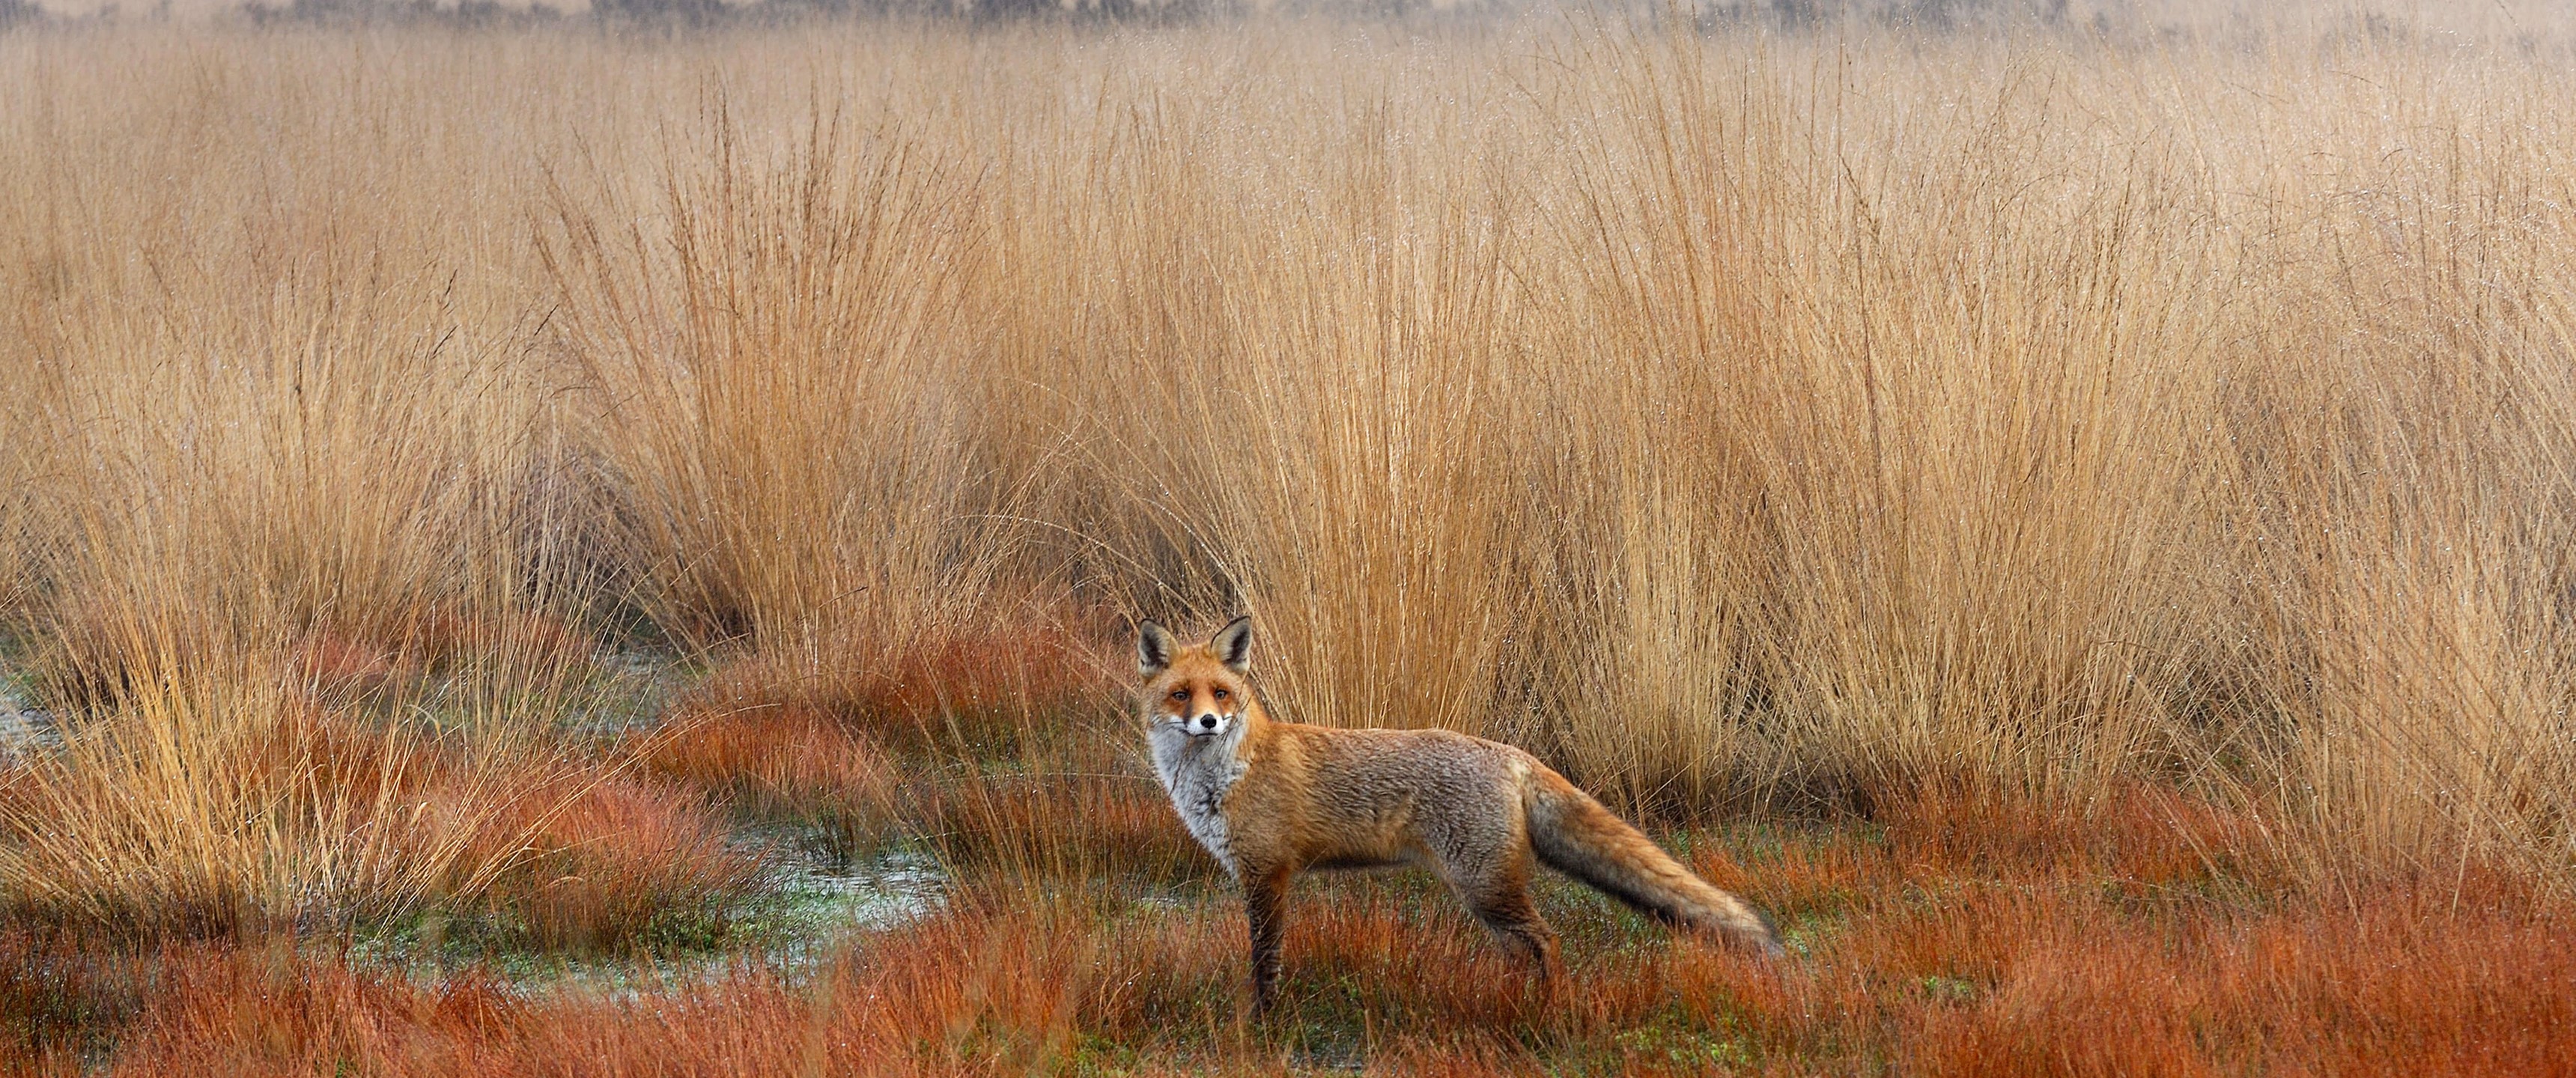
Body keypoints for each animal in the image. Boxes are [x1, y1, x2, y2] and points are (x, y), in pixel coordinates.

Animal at [1137, 615, 1781, 1009]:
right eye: (1181, 694)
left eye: (1221, 694)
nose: (1209, 722)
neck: (1224, 776)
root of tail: (1510, 752)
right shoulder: (1259, 873)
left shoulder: (1268, 874)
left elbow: (1264, 961)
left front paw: (1264, 1022)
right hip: (1486, 893)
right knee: (1522, 949)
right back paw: (1510, 1003)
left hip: (1483, 886)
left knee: (1546, 940)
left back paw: (1546, 1009)